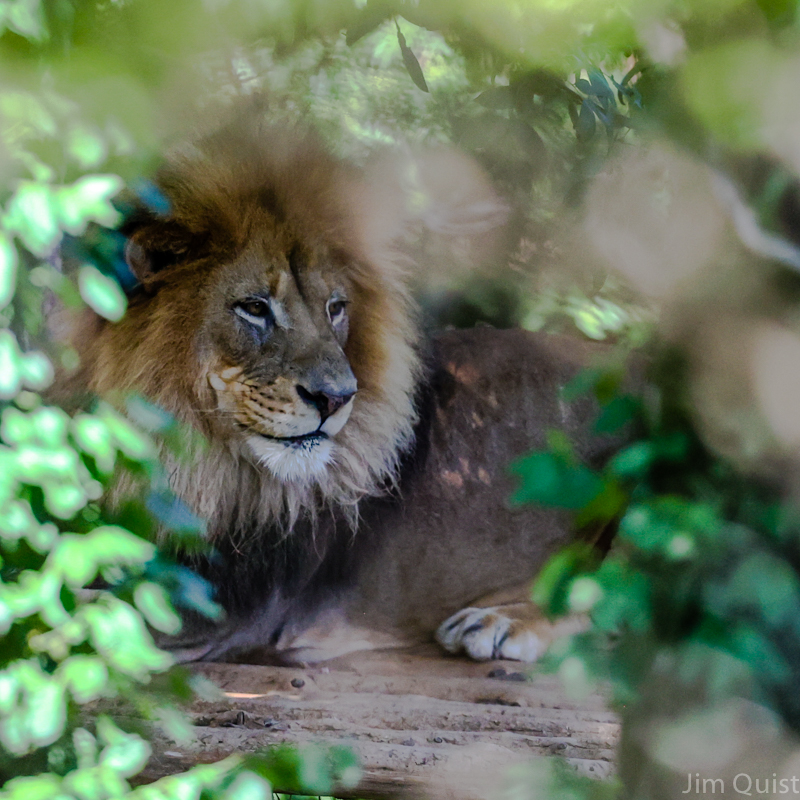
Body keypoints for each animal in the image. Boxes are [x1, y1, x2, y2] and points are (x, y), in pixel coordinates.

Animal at [66, 111, 621, 665]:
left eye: (335, 308)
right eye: (254, 307)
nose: (335, 398)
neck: (195, 456)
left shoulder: (224, 599)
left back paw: (499, 622)